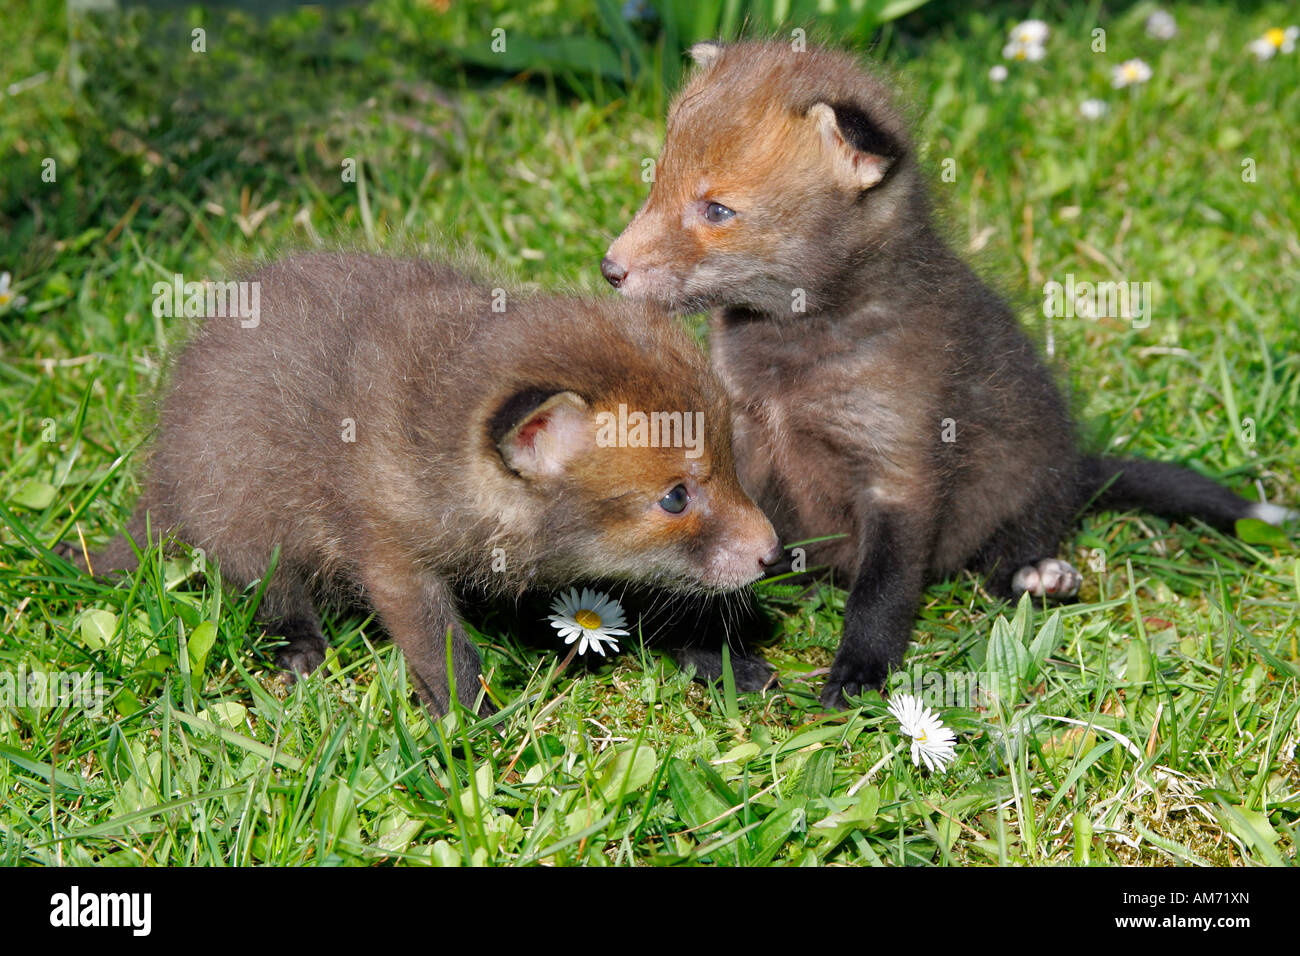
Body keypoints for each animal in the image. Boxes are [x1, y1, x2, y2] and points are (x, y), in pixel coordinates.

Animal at [76, 253, 781, 716]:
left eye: (731, 459)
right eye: (675, 497)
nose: (773, 553)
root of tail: (163, 465)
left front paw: (717, 658)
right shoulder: (390, 555)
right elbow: (442, 647)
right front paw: (473, 731)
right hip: (245, 515)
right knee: (265, 587)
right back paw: (300, 645)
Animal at [601, 41, 1296, 708]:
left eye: (717, 210)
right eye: (657, 183)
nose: (611, 268)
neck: (797, 356)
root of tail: (1078, 468)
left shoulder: (901, 467)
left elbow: (882, 592)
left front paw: (858, 677)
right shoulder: (741, 439)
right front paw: (708, 648)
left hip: (1030, 480)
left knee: (1014, 550)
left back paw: (1041, 576)